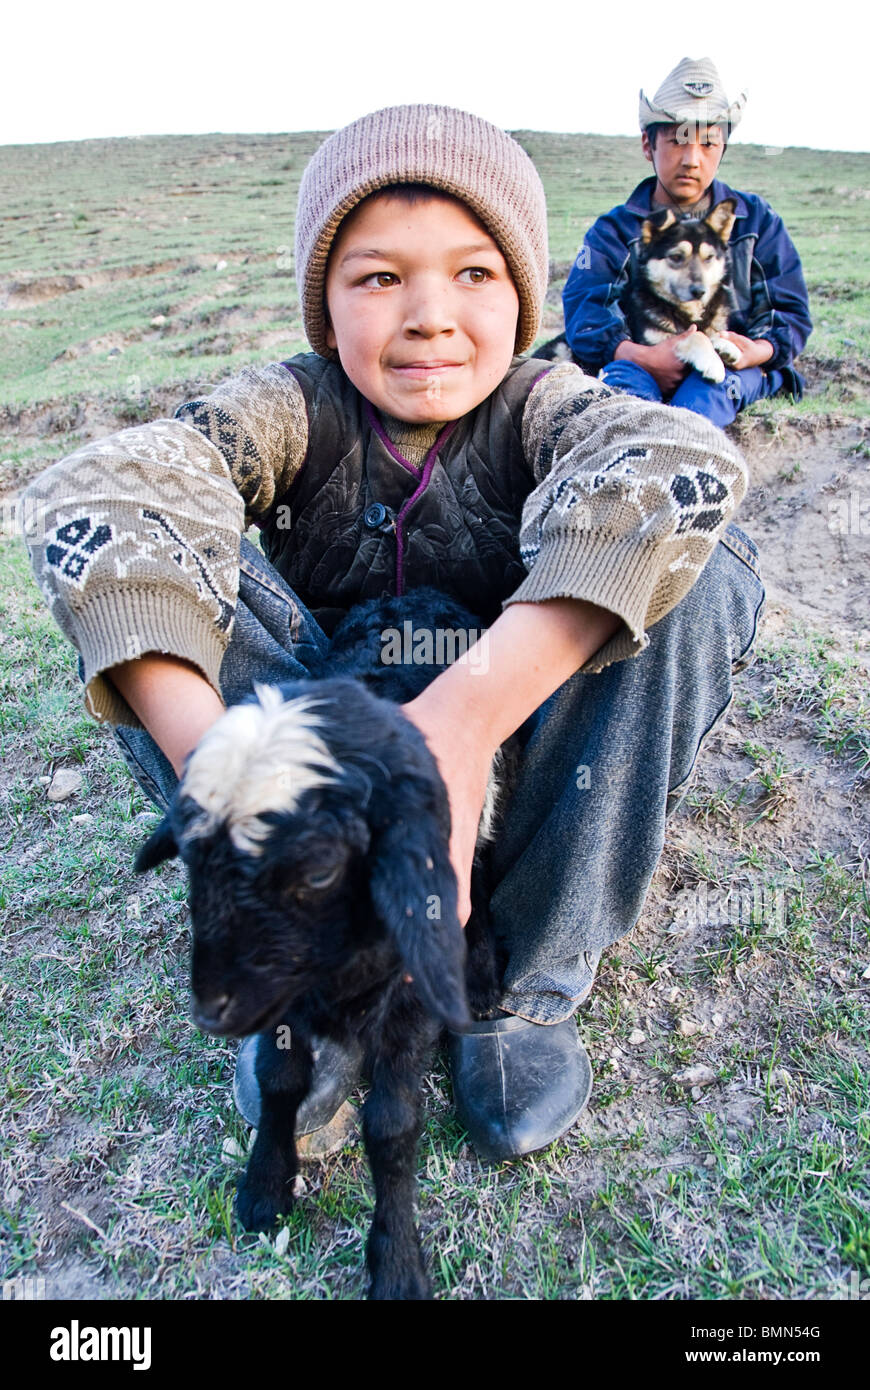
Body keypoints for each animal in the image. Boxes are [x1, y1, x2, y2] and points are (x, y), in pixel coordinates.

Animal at [134, 588, 505, 1300]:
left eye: (319, 872)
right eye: (193, 855)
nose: (212, 1011)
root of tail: (417, 591)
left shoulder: (406, 996)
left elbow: (392, 1124)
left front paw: (397, 1261)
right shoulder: (276, 995)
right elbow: (279, 1079)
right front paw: (264, 1186)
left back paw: (481, 971)